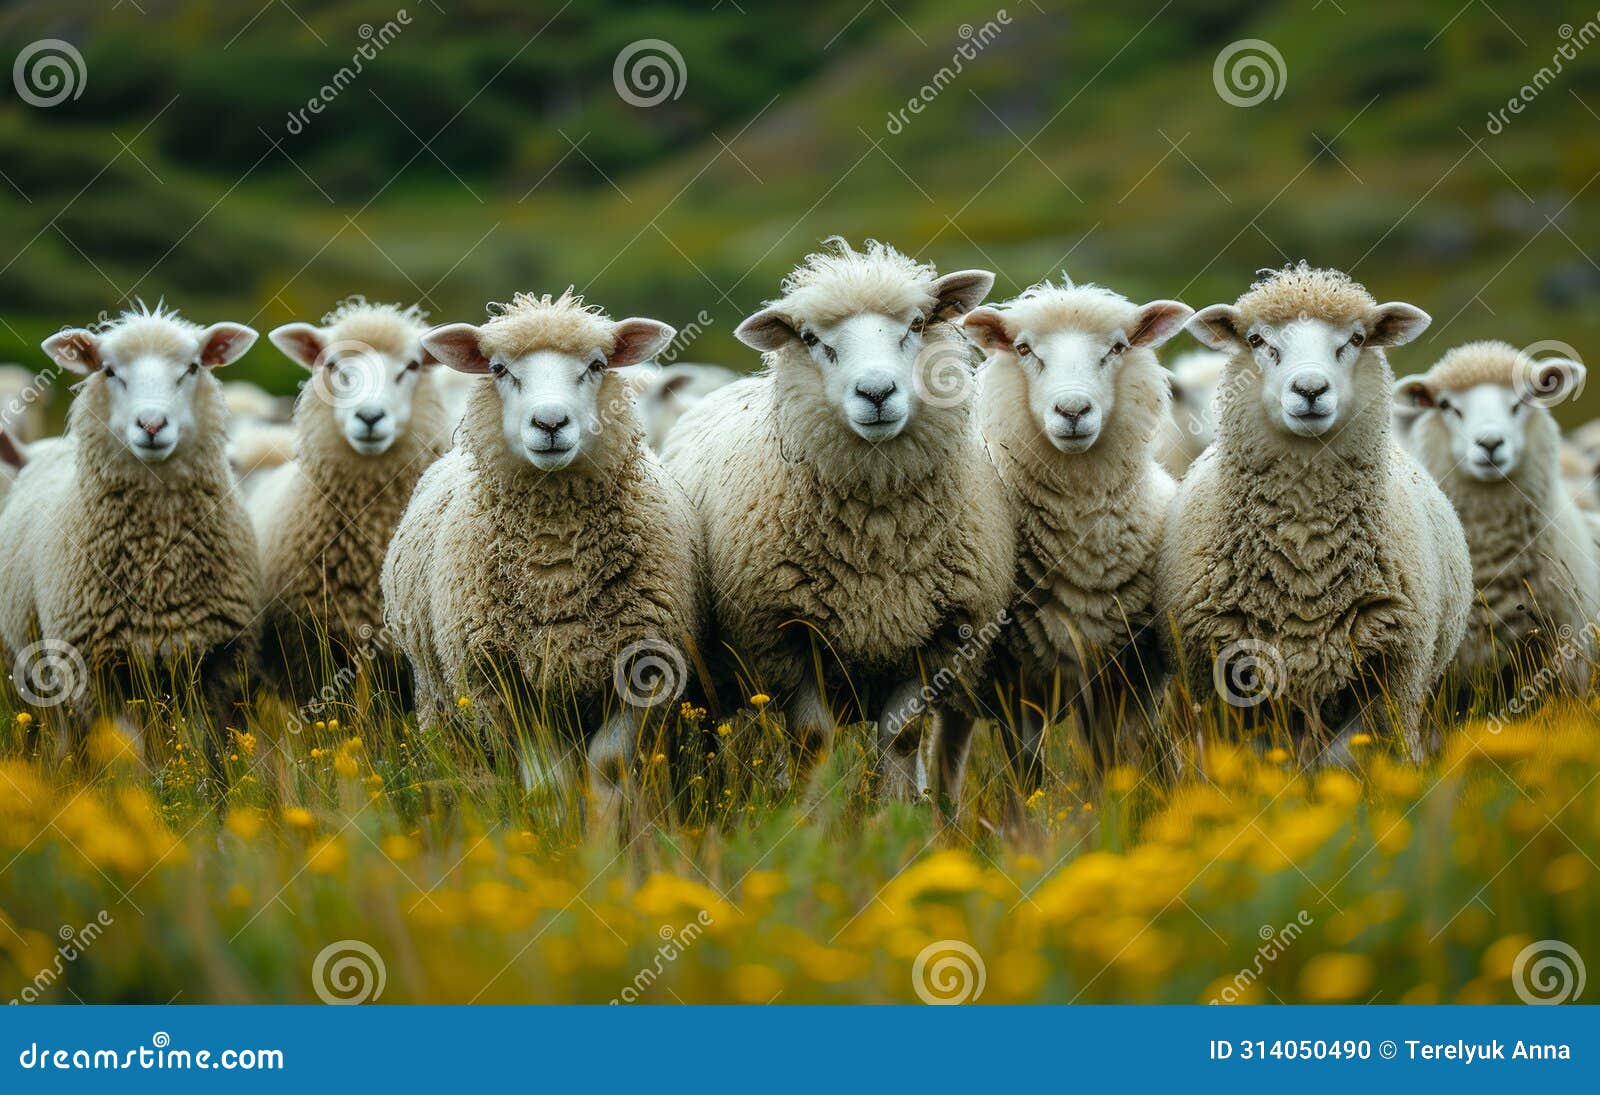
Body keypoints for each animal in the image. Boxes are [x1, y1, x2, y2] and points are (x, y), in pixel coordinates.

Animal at [0, 305, 260, 768]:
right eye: (108, 370)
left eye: (192, 367)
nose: (152, 424)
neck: (157, 564)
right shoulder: (90, 670)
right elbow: (127, 756)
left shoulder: (224, 661)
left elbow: (219, 753)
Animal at [381, 290, 697, 834]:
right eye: (499, 369)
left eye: (596, 366)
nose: (550, 424)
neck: (556, 563)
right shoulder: (503, 679)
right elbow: (549, 780)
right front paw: (556, 835)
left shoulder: (646, 663)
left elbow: (607, 767)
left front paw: (604, 836)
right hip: (437, 693)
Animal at [662, 238, 1013, 805]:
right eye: (810, 338)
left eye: (917, 324)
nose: (876, 393)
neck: (877, 534)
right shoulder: (787, 635)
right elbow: (812, 740)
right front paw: (807, 815)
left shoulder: (937, 637)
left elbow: (903, 736)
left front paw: (898, 812)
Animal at [962, 280, 1193, 787]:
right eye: (1024, 349)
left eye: (1117, 348)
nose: (1072, 410)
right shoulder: (1014, 685)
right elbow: (1027, 776)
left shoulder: (1128, 676)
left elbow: (1114, 765)